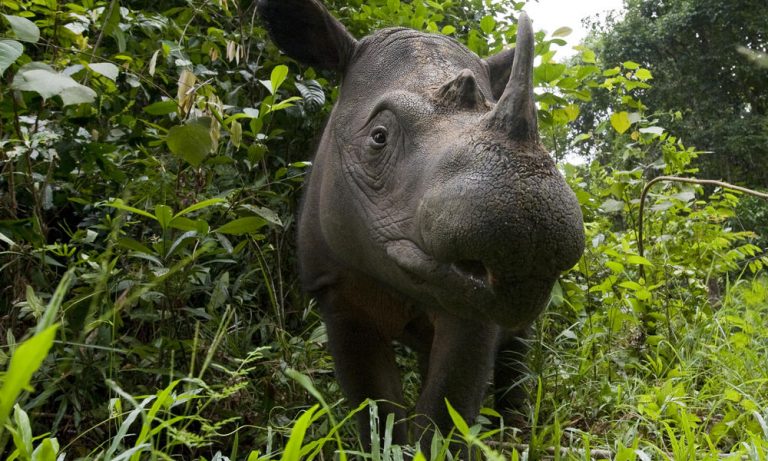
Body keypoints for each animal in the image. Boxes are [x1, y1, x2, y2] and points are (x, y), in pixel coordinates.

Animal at [257, 0, 585, 448]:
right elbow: (374, 404)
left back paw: (513, 433)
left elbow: (447, 409)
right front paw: (387, 447)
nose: (530, 232)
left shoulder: (474, 306)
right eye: (378, 137)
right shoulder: (334, 289)